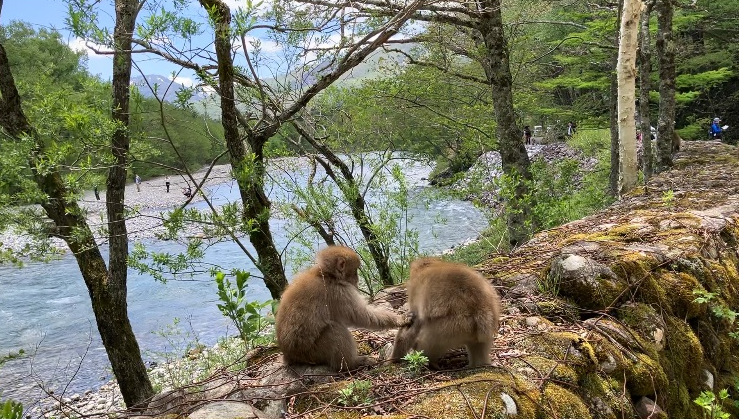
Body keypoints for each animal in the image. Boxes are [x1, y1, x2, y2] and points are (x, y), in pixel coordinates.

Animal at [276, 246, 405, 371]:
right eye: (354, 272)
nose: (357, 279)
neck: (327, 275)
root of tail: (289, 355)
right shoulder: (339, 292)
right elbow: (361, 316)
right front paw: (399, 319)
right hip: (313, 353)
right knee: (334, 330)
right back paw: (352, 363)